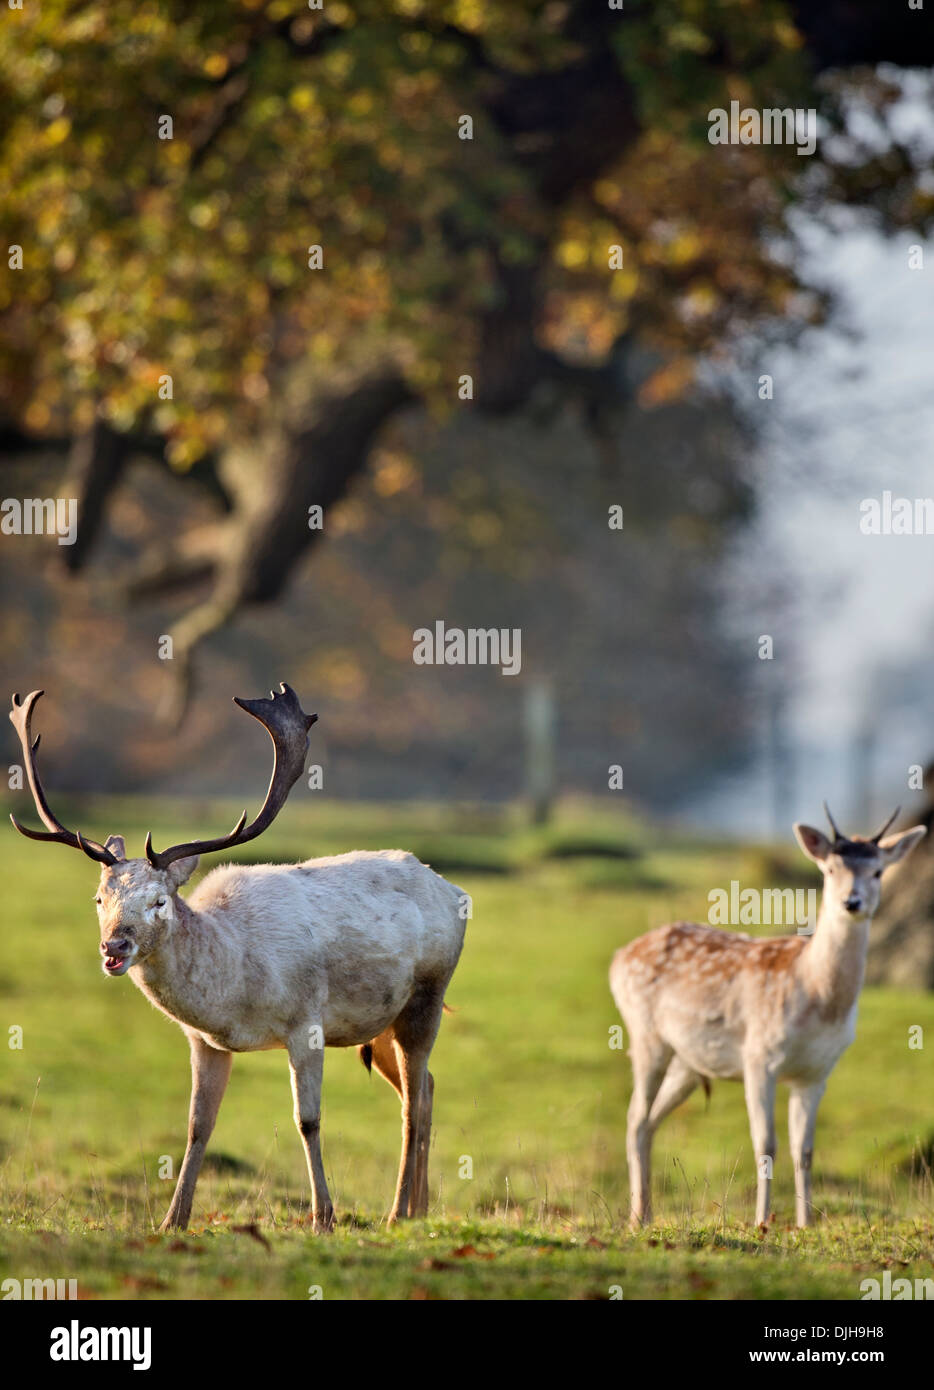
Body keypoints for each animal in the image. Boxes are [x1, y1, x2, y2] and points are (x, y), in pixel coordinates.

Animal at [8, 683, 467, 1233]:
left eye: (159, 901)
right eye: (100, 898)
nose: (114, 947)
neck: (235, 991)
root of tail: (453, 889)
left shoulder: (306, 1022)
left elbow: (308, 1120)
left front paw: (324, 1217)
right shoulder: (204, 1042)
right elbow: (196, 1126)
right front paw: (172, 1220)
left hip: (428, 994)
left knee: (414, 1102)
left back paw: (398, 1212)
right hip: (377, 1025)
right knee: (428, 1087)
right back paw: (418, 1210)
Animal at [609, 805, 926, 1231]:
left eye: (878, 871)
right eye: (830, 869)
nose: (852, 902)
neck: (817, 997)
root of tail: (618, 958)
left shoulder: (817, 1072)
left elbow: (804, 1149)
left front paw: (806, 1223)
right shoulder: (759, 1056)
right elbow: (766, 1142)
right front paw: (762, 1221)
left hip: (689, 1063)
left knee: (650, 1120)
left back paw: (646, 1214)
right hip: (646, 1035)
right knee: (634, 1117)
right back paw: (637, 1217)